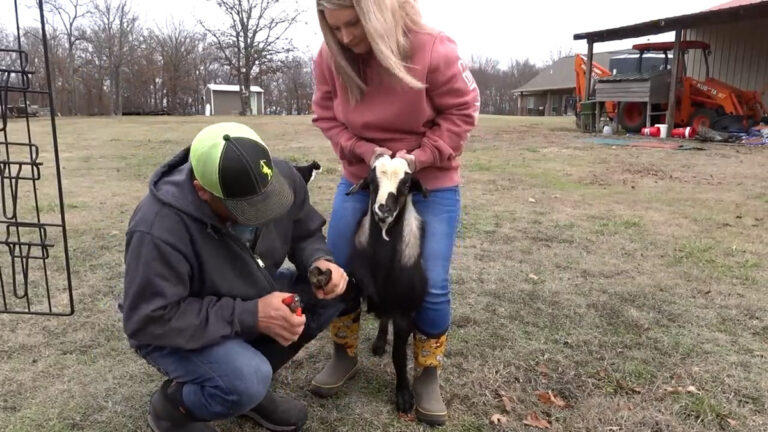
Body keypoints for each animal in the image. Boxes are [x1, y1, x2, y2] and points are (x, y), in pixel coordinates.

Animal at [345, 155, 428, 414]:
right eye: (371, 182)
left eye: (406, 184)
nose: (383, 210)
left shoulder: (403, 311)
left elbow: (399, 355)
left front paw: (404, 397)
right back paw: (379, 342)